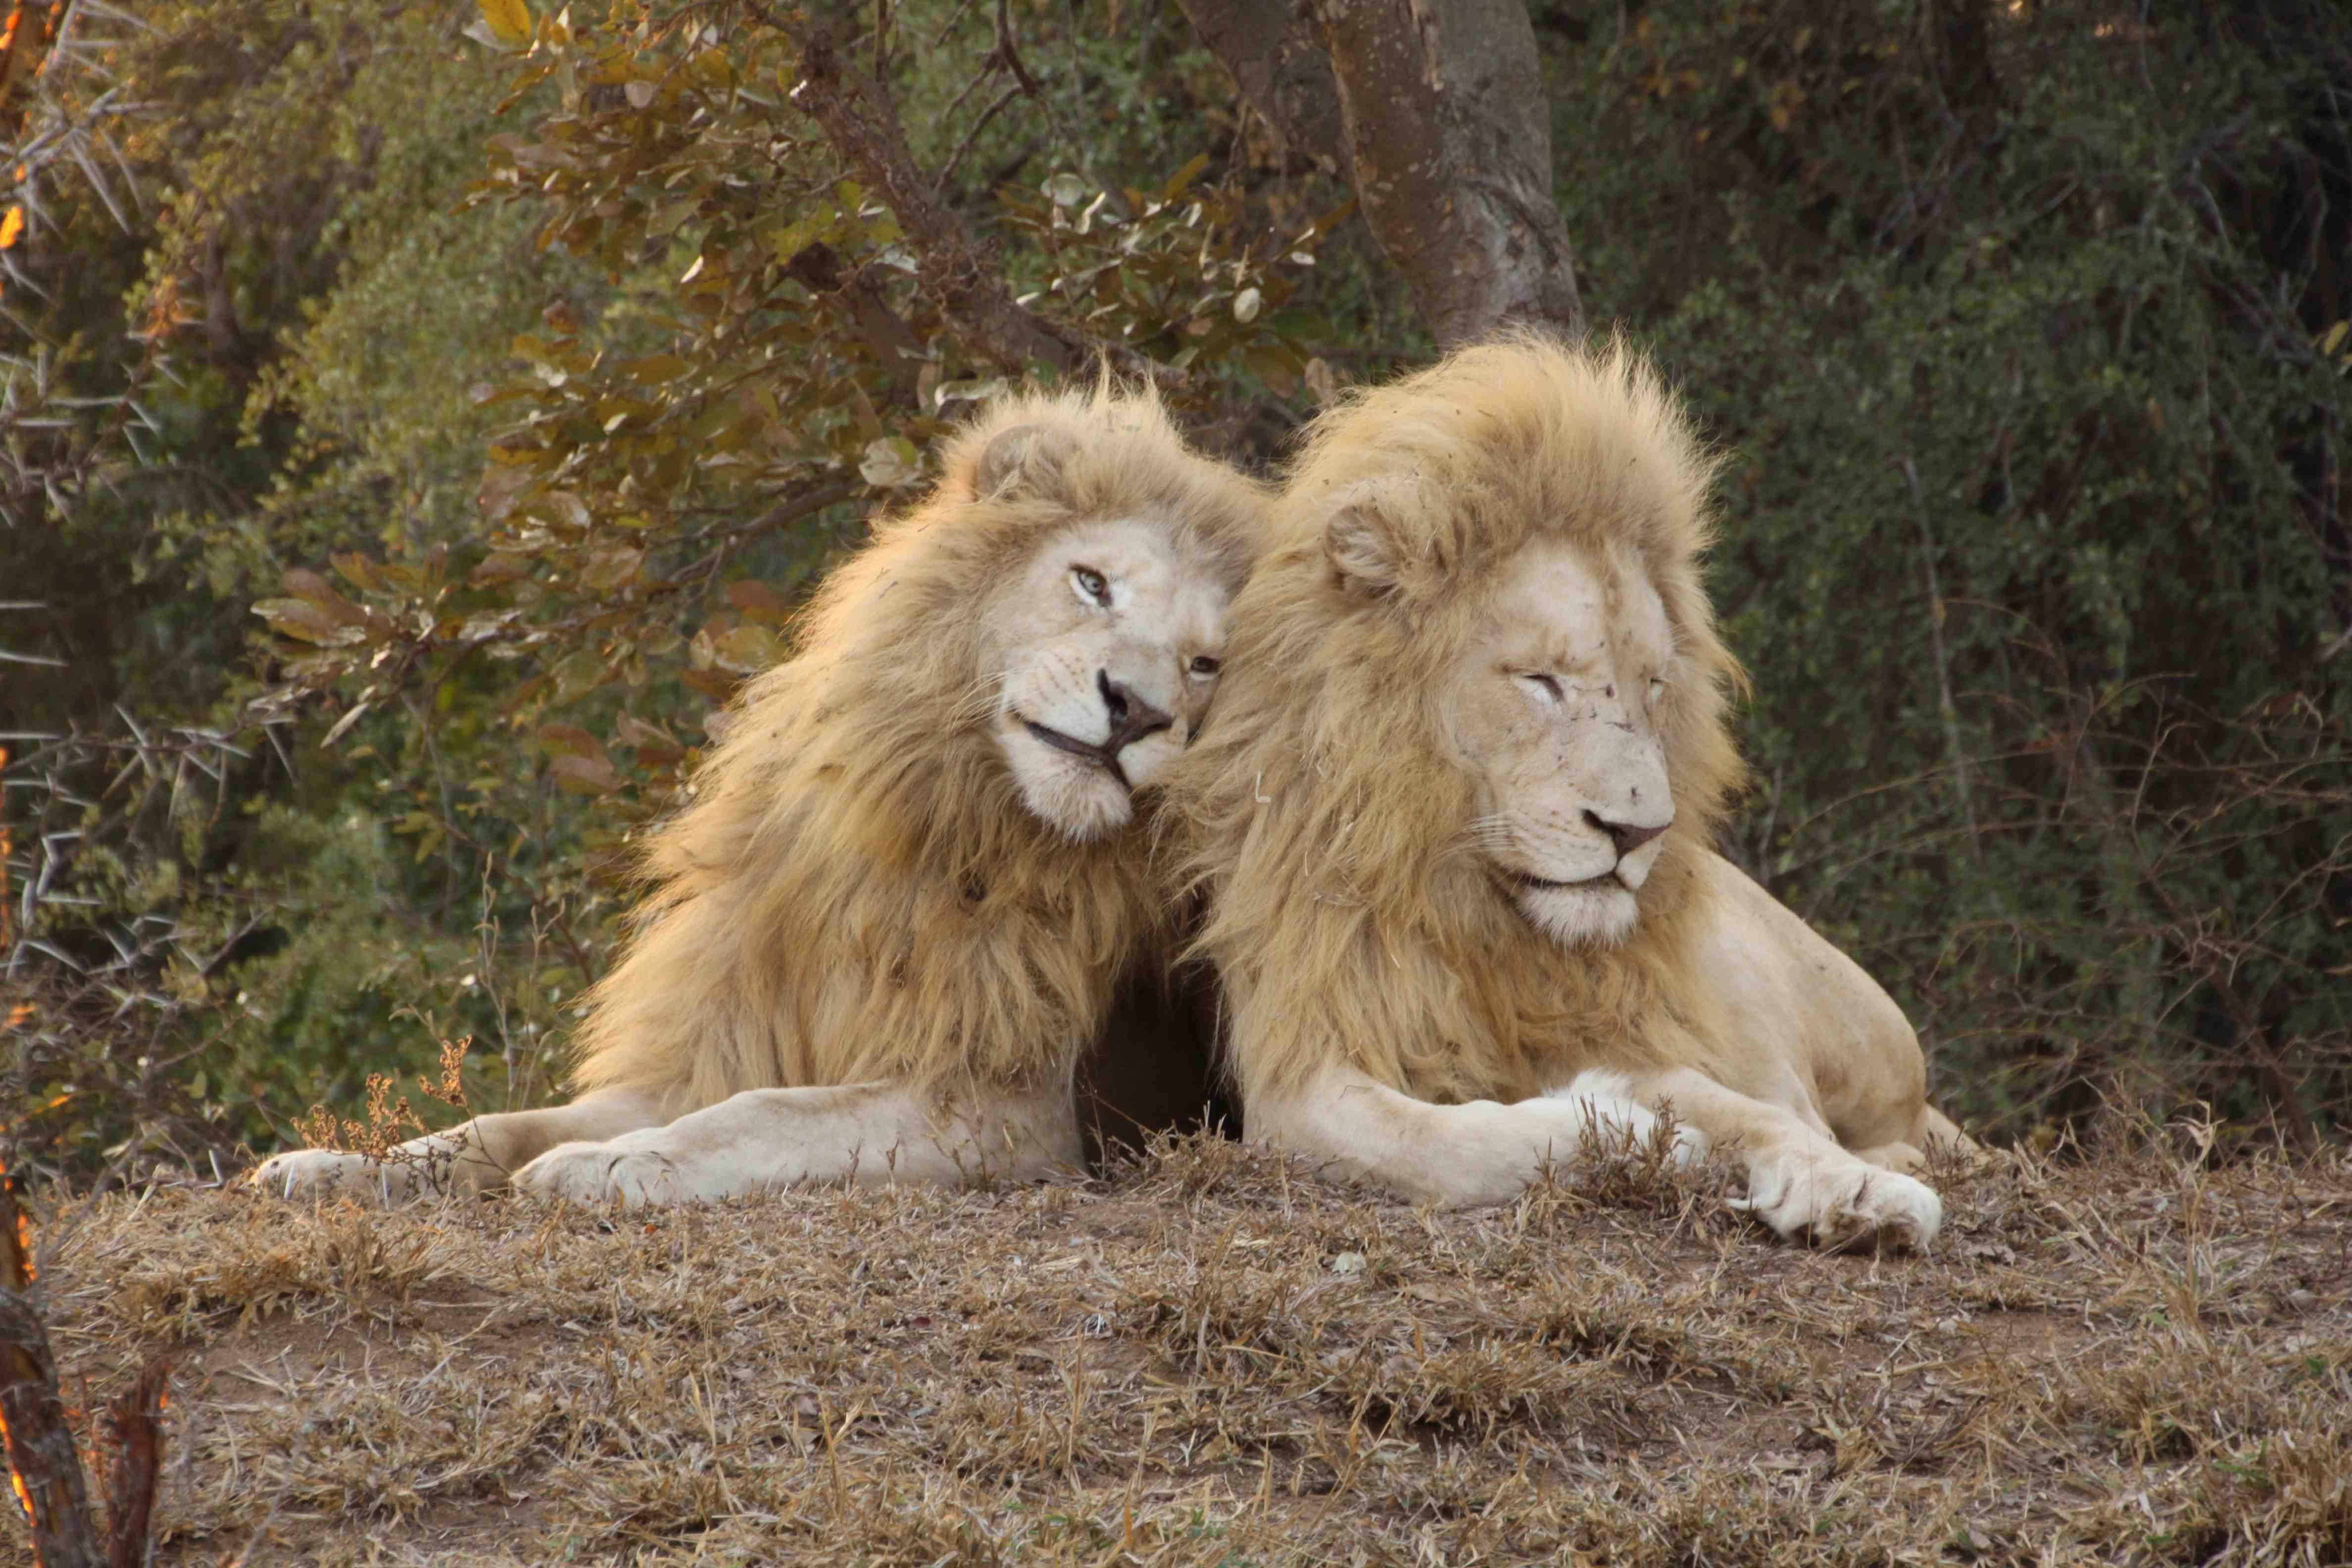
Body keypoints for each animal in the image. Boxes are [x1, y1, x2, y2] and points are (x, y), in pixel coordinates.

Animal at [255, 385, 1265, 1206]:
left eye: (1205, 664)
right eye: (1091, 583)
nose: (1137, 712)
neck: (947, 819)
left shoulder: (1008, 1109)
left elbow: (763, 1113)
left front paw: (616, 1163)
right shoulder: (719, 1041)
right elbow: (502, 1124)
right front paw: (339, 1164)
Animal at [1171, 334, 1971, 1250]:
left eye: (1653, 685)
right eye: (1543, 681)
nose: (1638, 833)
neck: (1474, 915)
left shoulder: (1615, 1024)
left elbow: (1752, 1112)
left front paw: (1855, 1191)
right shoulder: (1300, 1075)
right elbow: (1449, 1141)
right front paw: (1624, 1129)